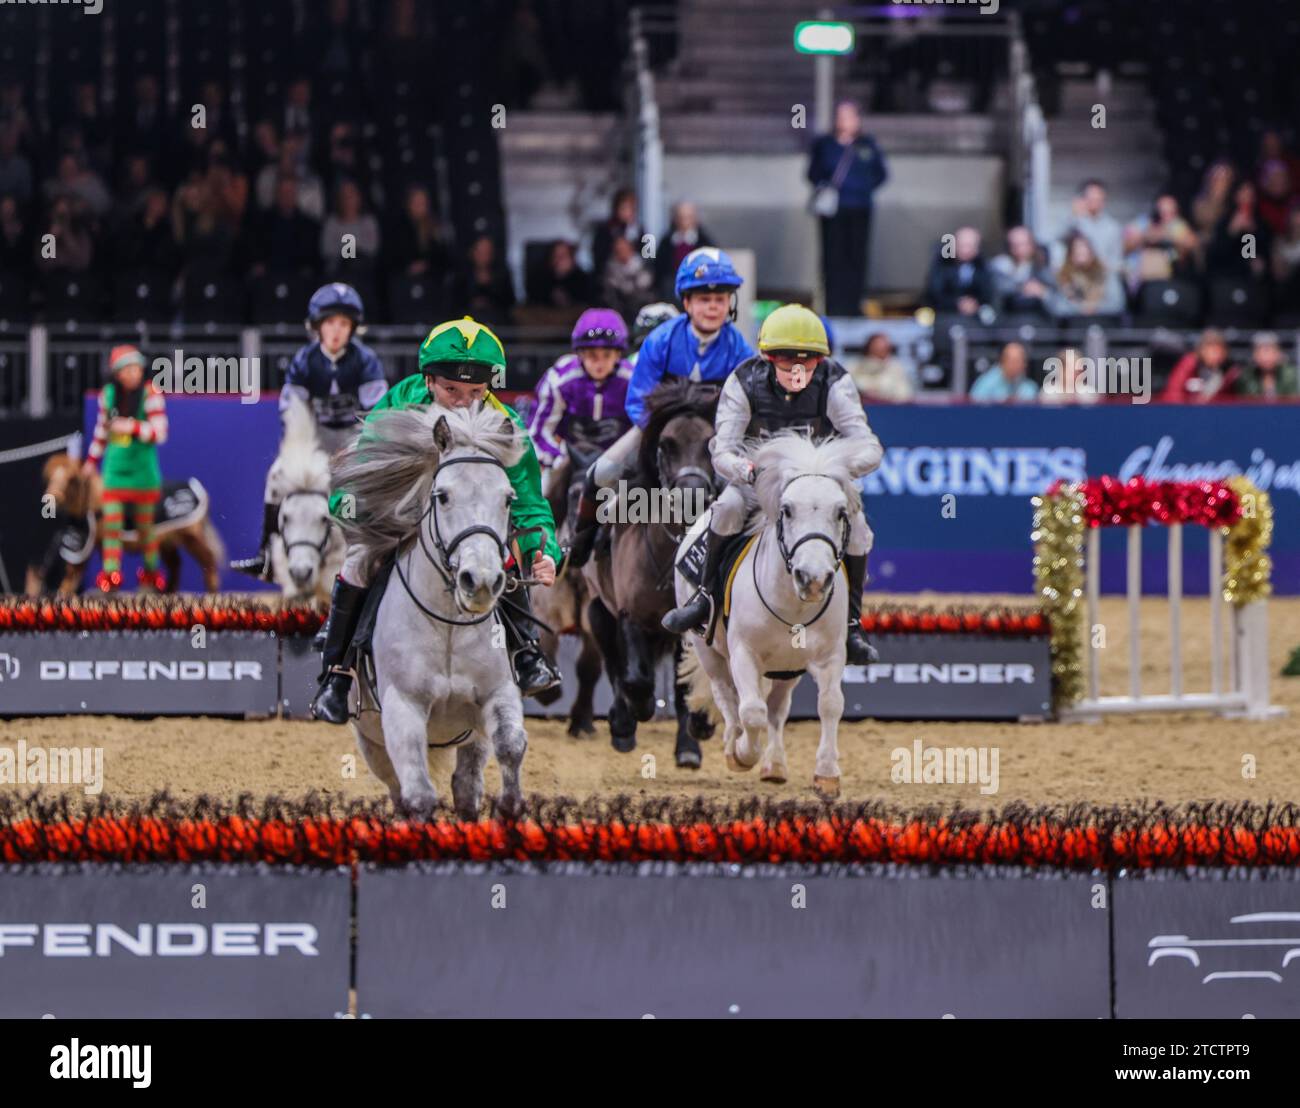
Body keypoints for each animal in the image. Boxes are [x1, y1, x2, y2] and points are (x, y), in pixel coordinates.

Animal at [29, 454, 225, 595]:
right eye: (50, 477)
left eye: (72, 479)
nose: (52, 496)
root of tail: (195, 486)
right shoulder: (85, 542)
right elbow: (73, 573)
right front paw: (64, 595)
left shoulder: (102, 539)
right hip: (167, 541)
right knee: (175, 564)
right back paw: (168, 591)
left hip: (192, 536)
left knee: (208, 560)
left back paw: (210, 593)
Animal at [583, 378, 718, 768]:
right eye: (665, 444)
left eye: (711, 442)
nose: (691, 497)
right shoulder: (630, 614)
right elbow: (635, 678)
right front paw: (635, 713)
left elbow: (684, 682)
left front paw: (695, 734)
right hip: (598, 609)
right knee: (613, 662)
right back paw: (622, 723)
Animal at [674, 431, 860, 799]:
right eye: (786, 511)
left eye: (840, 512)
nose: (813, 578)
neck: (792, 605)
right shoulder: (743, 653)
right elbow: (751, 712)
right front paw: (743, 754)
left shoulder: (830, 656)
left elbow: (831, 704)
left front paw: (827, 774)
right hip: (708, 649)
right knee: (726, 695)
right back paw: (734, 744)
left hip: (788, 668)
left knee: (777, 707)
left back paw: (774, 765)